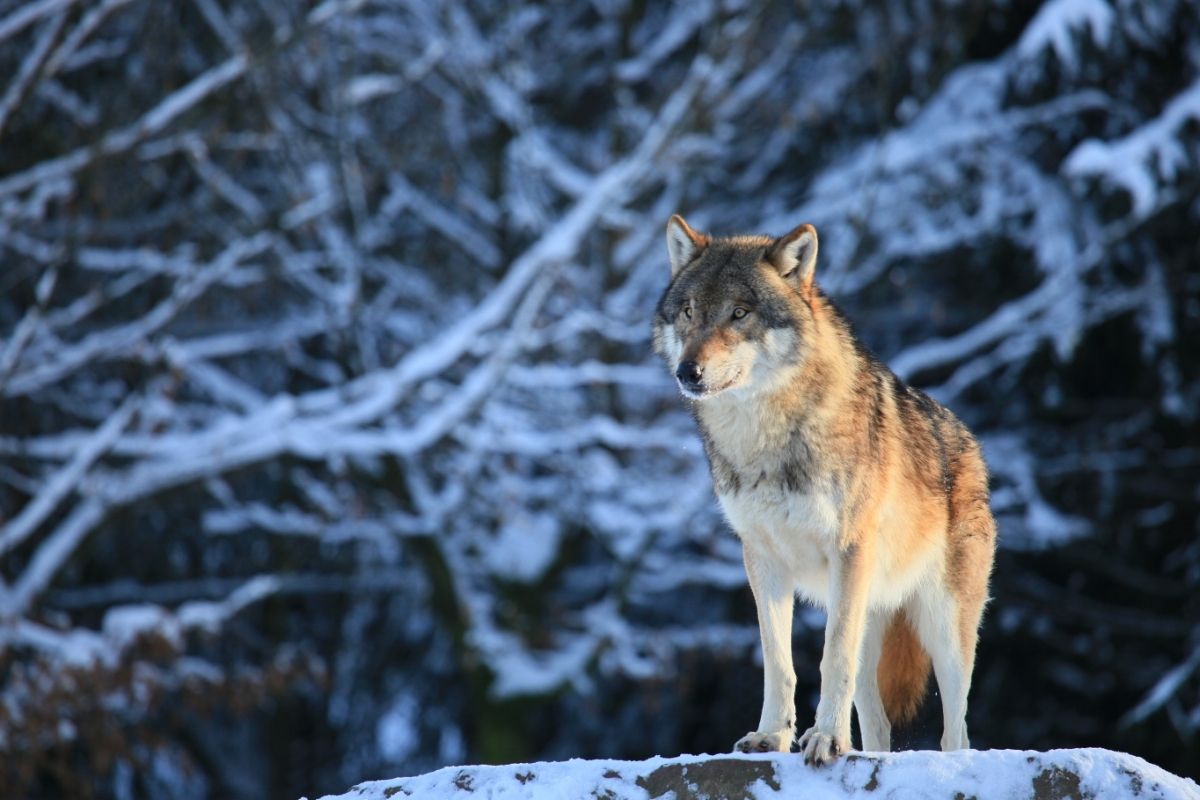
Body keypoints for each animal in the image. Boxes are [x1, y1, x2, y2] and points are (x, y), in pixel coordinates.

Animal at [652, 215, 997, 766]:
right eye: (689, 312)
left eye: (740, 313)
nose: (689, 371)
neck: (766, 438)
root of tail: (970, 442)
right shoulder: (761, 558)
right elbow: (779, 662)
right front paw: (771, 737)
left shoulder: (847, 550)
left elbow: (831, 658)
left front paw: (826, 740)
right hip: (873, 620)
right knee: (877, 722)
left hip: (943, 626)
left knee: (955, 728)